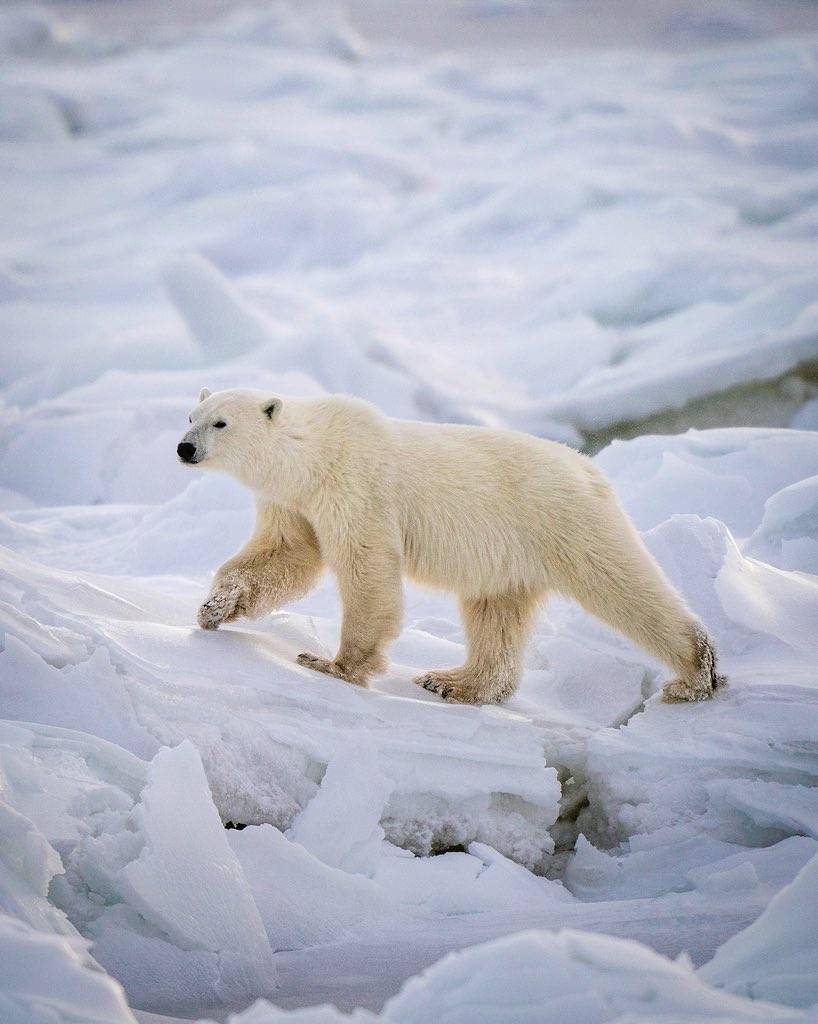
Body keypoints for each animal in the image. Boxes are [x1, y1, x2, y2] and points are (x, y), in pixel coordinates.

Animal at [177, 387, 724, 705]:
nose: (185, 448)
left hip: (565, 522)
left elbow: (366, 567)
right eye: (190, 416)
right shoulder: (293, 502)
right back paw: (454, 681)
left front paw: (334, 664)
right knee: (495, 615)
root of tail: (591, 470)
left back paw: (694, 675)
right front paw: (214, 608)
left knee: (622, 585)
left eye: (221, 422)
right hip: (511, 556)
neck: (311, 455)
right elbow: (285, 555)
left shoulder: (354, 487)